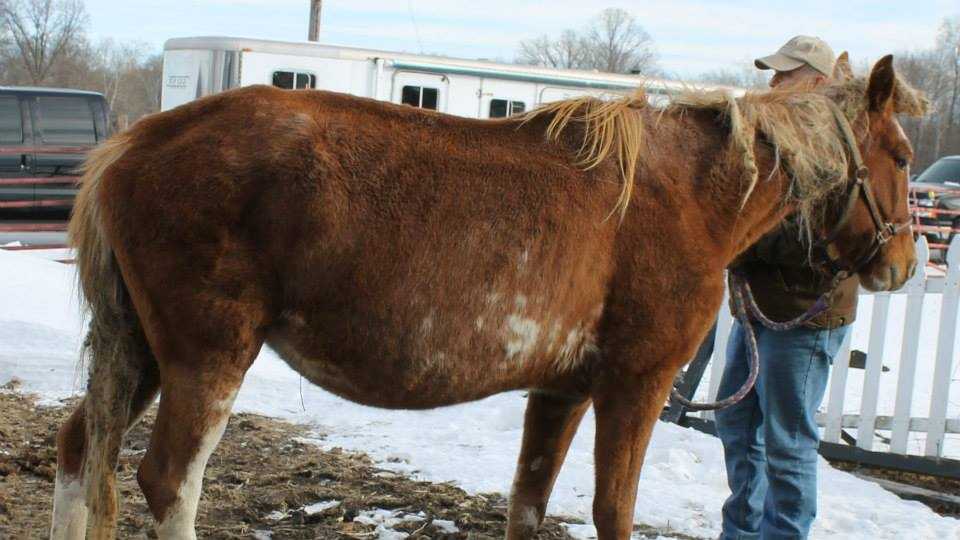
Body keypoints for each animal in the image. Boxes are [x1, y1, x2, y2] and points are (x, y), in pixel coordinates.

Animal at [50, 53, 925, 539]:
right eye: (904, 154)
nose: (905, 263)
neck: (680, 195)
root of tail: (136, 141)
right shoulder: (635, 388)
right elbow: (612, 513)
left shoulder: (562, 389)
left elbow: (527, 507)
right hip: (207, 358)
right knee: (169, 483)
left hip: (144, 353)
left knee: (79, 448)